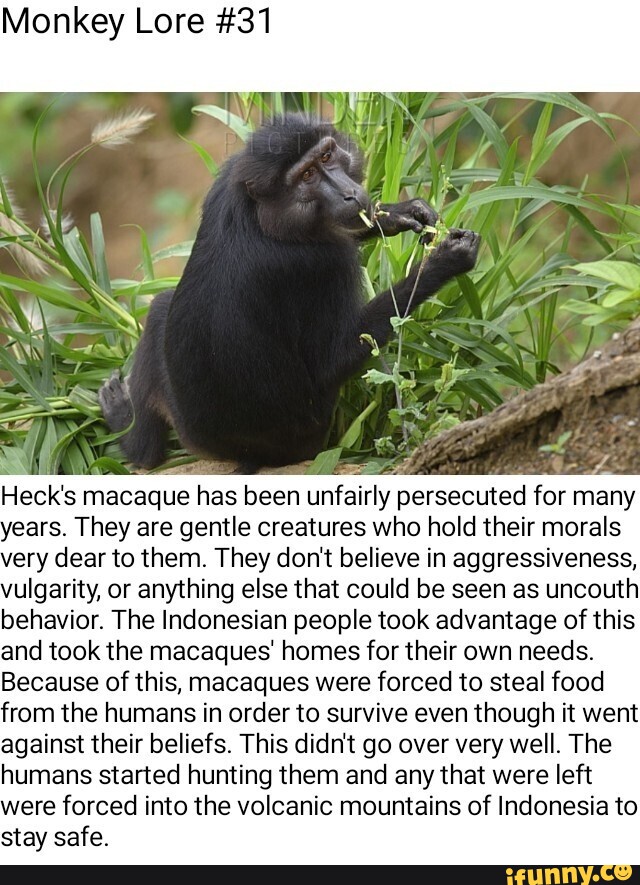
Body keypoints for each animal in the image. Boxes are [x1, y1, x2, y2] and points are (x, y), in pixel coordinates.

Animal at [99, 114, 480, 473]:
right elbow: (333, 358)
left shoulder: (226, 181)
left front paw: (399, 214)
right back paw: (136, 443)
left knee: (160, 309)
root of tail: (248, 453)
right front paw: (444, 262)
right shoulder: (324, 263)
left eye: (327, 156)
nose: (350, 194)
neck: (259, 216)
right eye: (307, 175)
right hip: (297, 441)